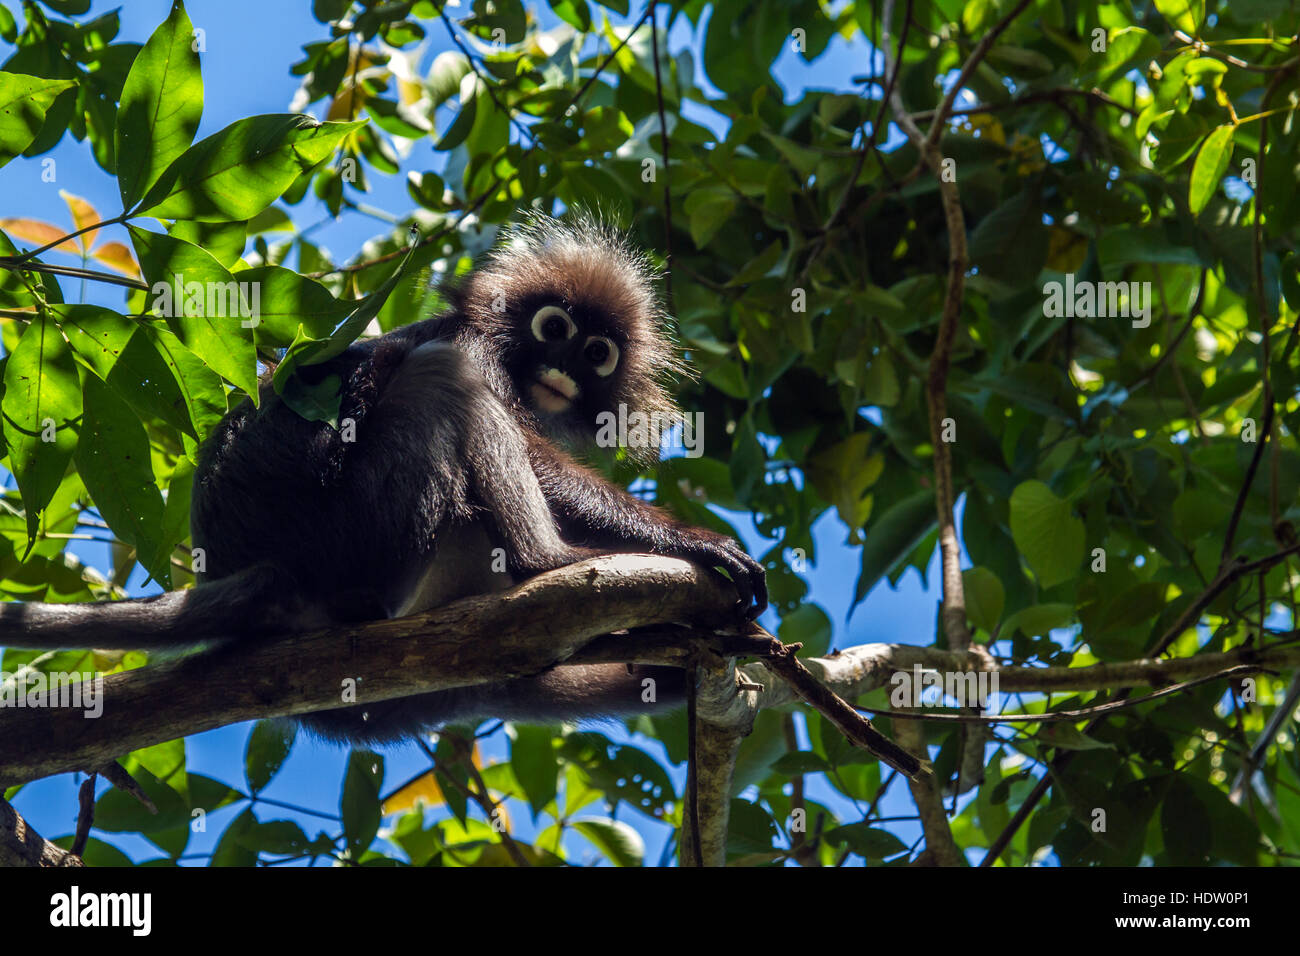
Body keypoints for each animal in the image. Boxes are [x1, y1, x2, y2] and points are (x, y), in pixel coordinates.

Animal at [0, 214, 767, 743]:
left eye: (597, 352)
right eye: (554, 328)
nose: (563, 368)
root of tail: (265, 569)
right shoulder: (472, 345)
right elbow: (535, 455)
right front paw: (691, 543)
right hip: (364, 537)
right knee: (438, 380)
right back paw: (548, 563)